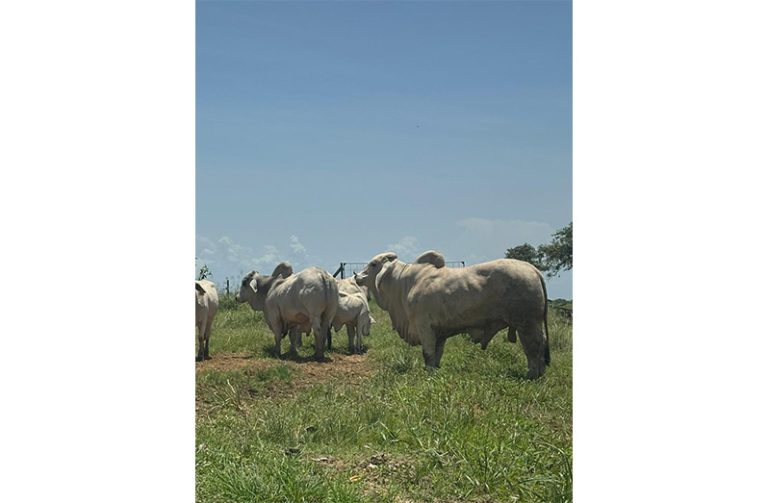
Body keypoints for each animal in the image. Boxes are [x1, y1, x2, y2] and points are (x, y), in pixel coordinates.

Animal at [355, 250, 550, 379]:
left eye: (373, 264)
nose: (357, 276)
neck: (404, 283)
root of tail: (533, 269)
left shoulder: (425, 327)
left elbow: (428, 354)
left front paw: (429, 373)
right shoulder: (439, 332)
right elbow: (437, 354)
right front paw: (435, 370)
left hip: (526, 324)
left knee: (533, 348)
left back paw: (531, 375)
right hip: (533, 324)